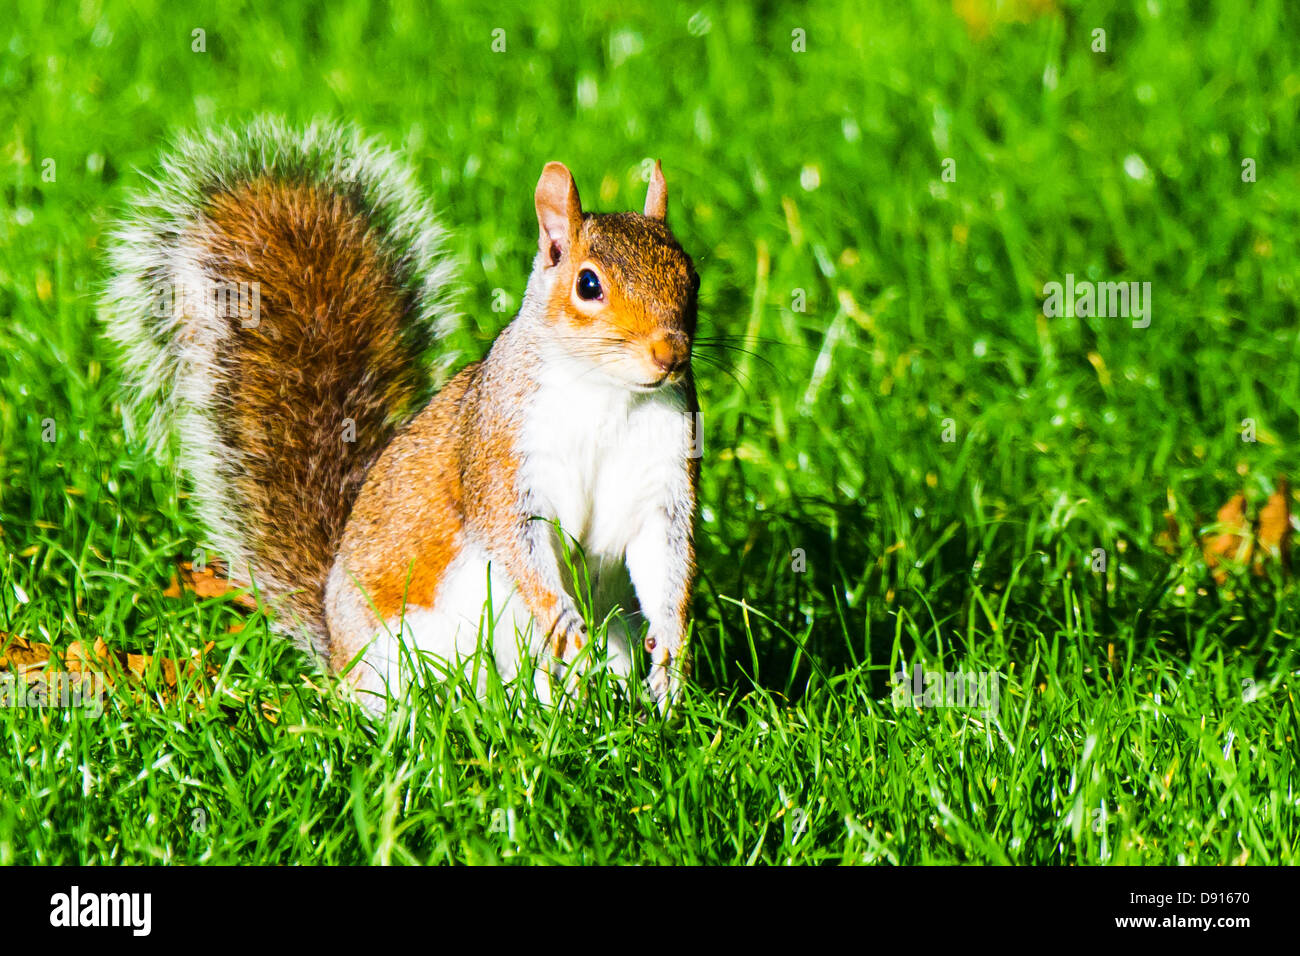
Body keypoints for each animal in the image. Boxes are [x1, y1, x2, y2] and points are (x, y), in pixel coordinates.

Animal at [101, 117, 700, 712]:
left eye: (691, 276)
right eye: (588, 284)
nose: (670, 353)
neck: (609, 396)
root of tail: (336, 649)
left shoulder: (662, 481)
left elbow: (664, 561)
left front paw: (671, 656)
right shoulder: (501, 455)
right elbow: (515, 543)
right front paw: (563, 621)